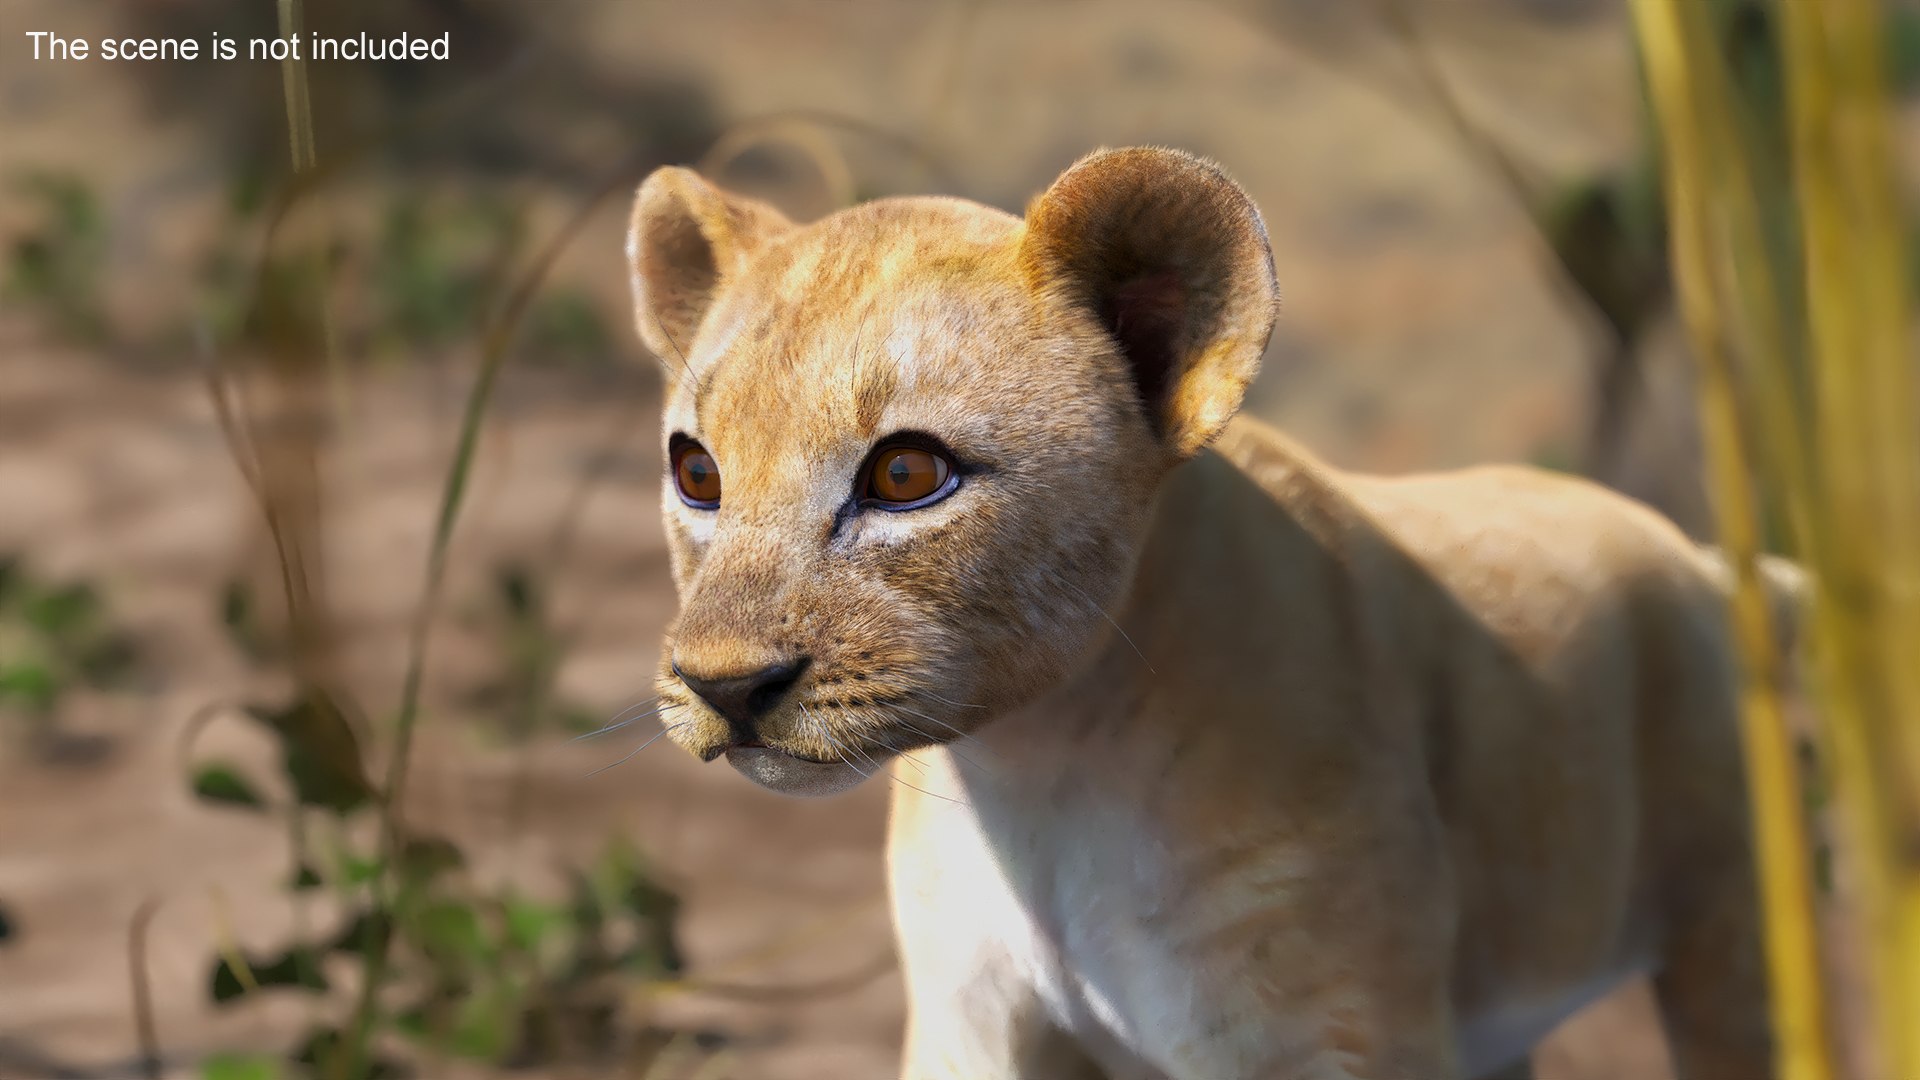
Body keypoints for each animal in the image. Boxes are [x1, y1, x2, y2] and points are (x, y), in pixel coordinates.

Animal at [623, 146, 1783, 1079]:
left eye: (906, 474)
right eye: (697, 472)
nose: (725, 688)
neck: (1037, 777)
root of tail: (1680, 543)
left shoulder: (1322, 1035)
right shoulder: (970, 1026)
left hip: (1730, 924)